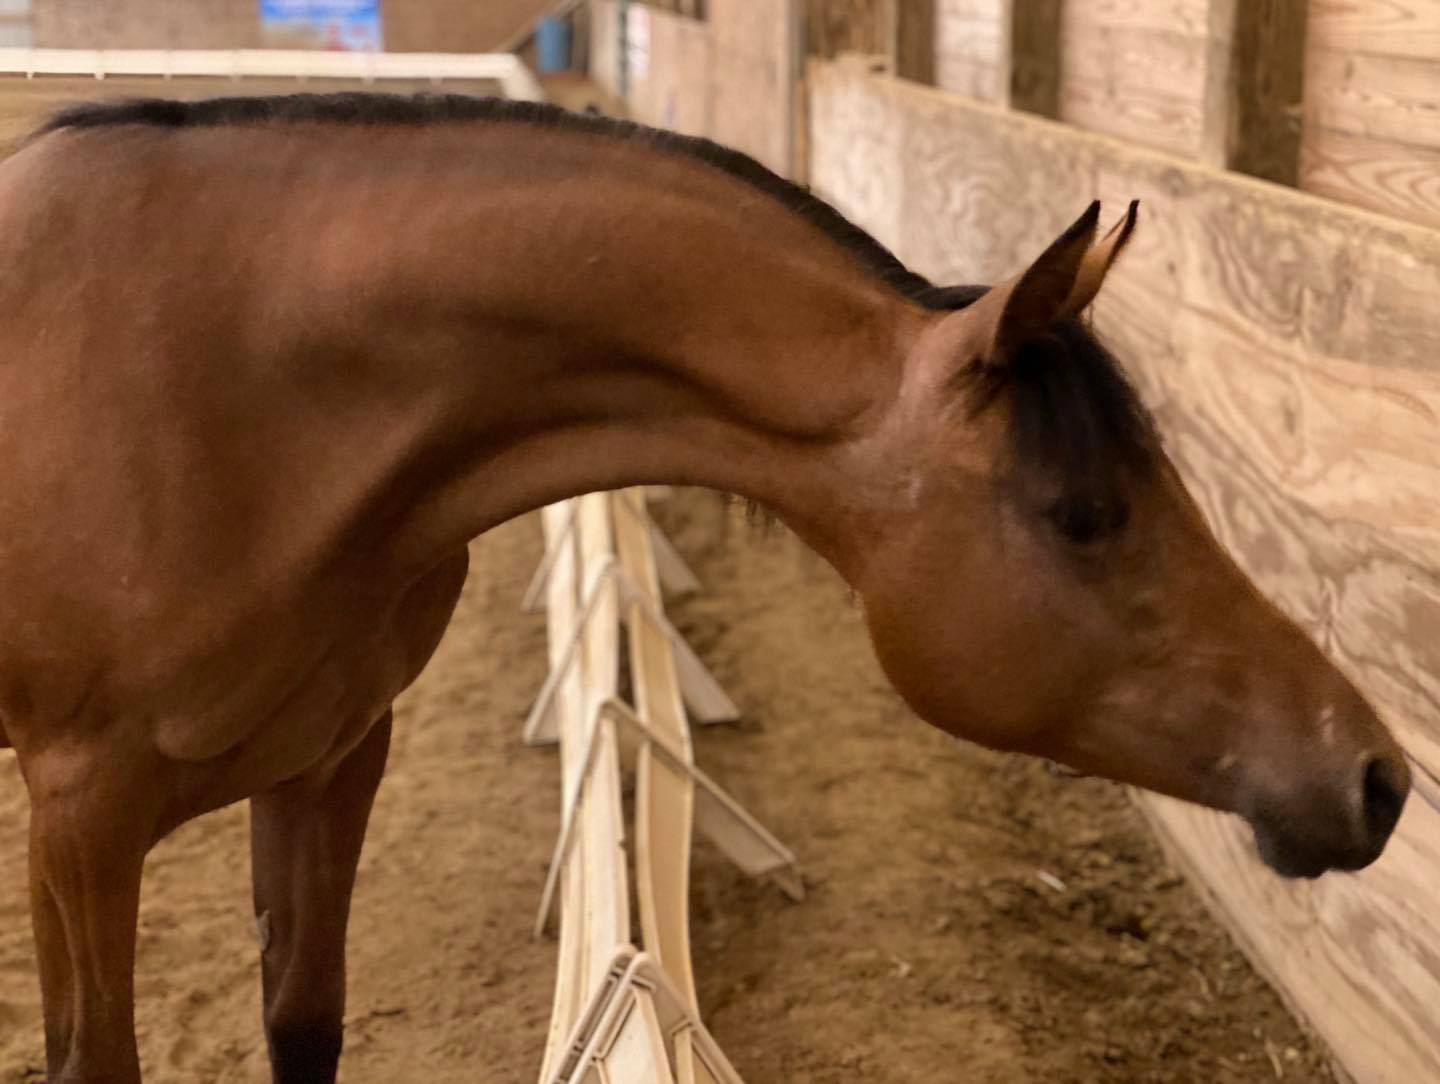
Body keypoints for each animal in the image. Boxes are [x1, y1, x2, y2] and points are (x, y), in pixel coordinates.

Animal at [0, 93, 1409, 1083]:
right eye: (1083, 513)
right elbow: (92, 1060)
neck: (230, 385)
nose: (1376, 774)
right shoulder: (80, 814)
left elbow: (303, 1021)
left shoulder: (330, 759)